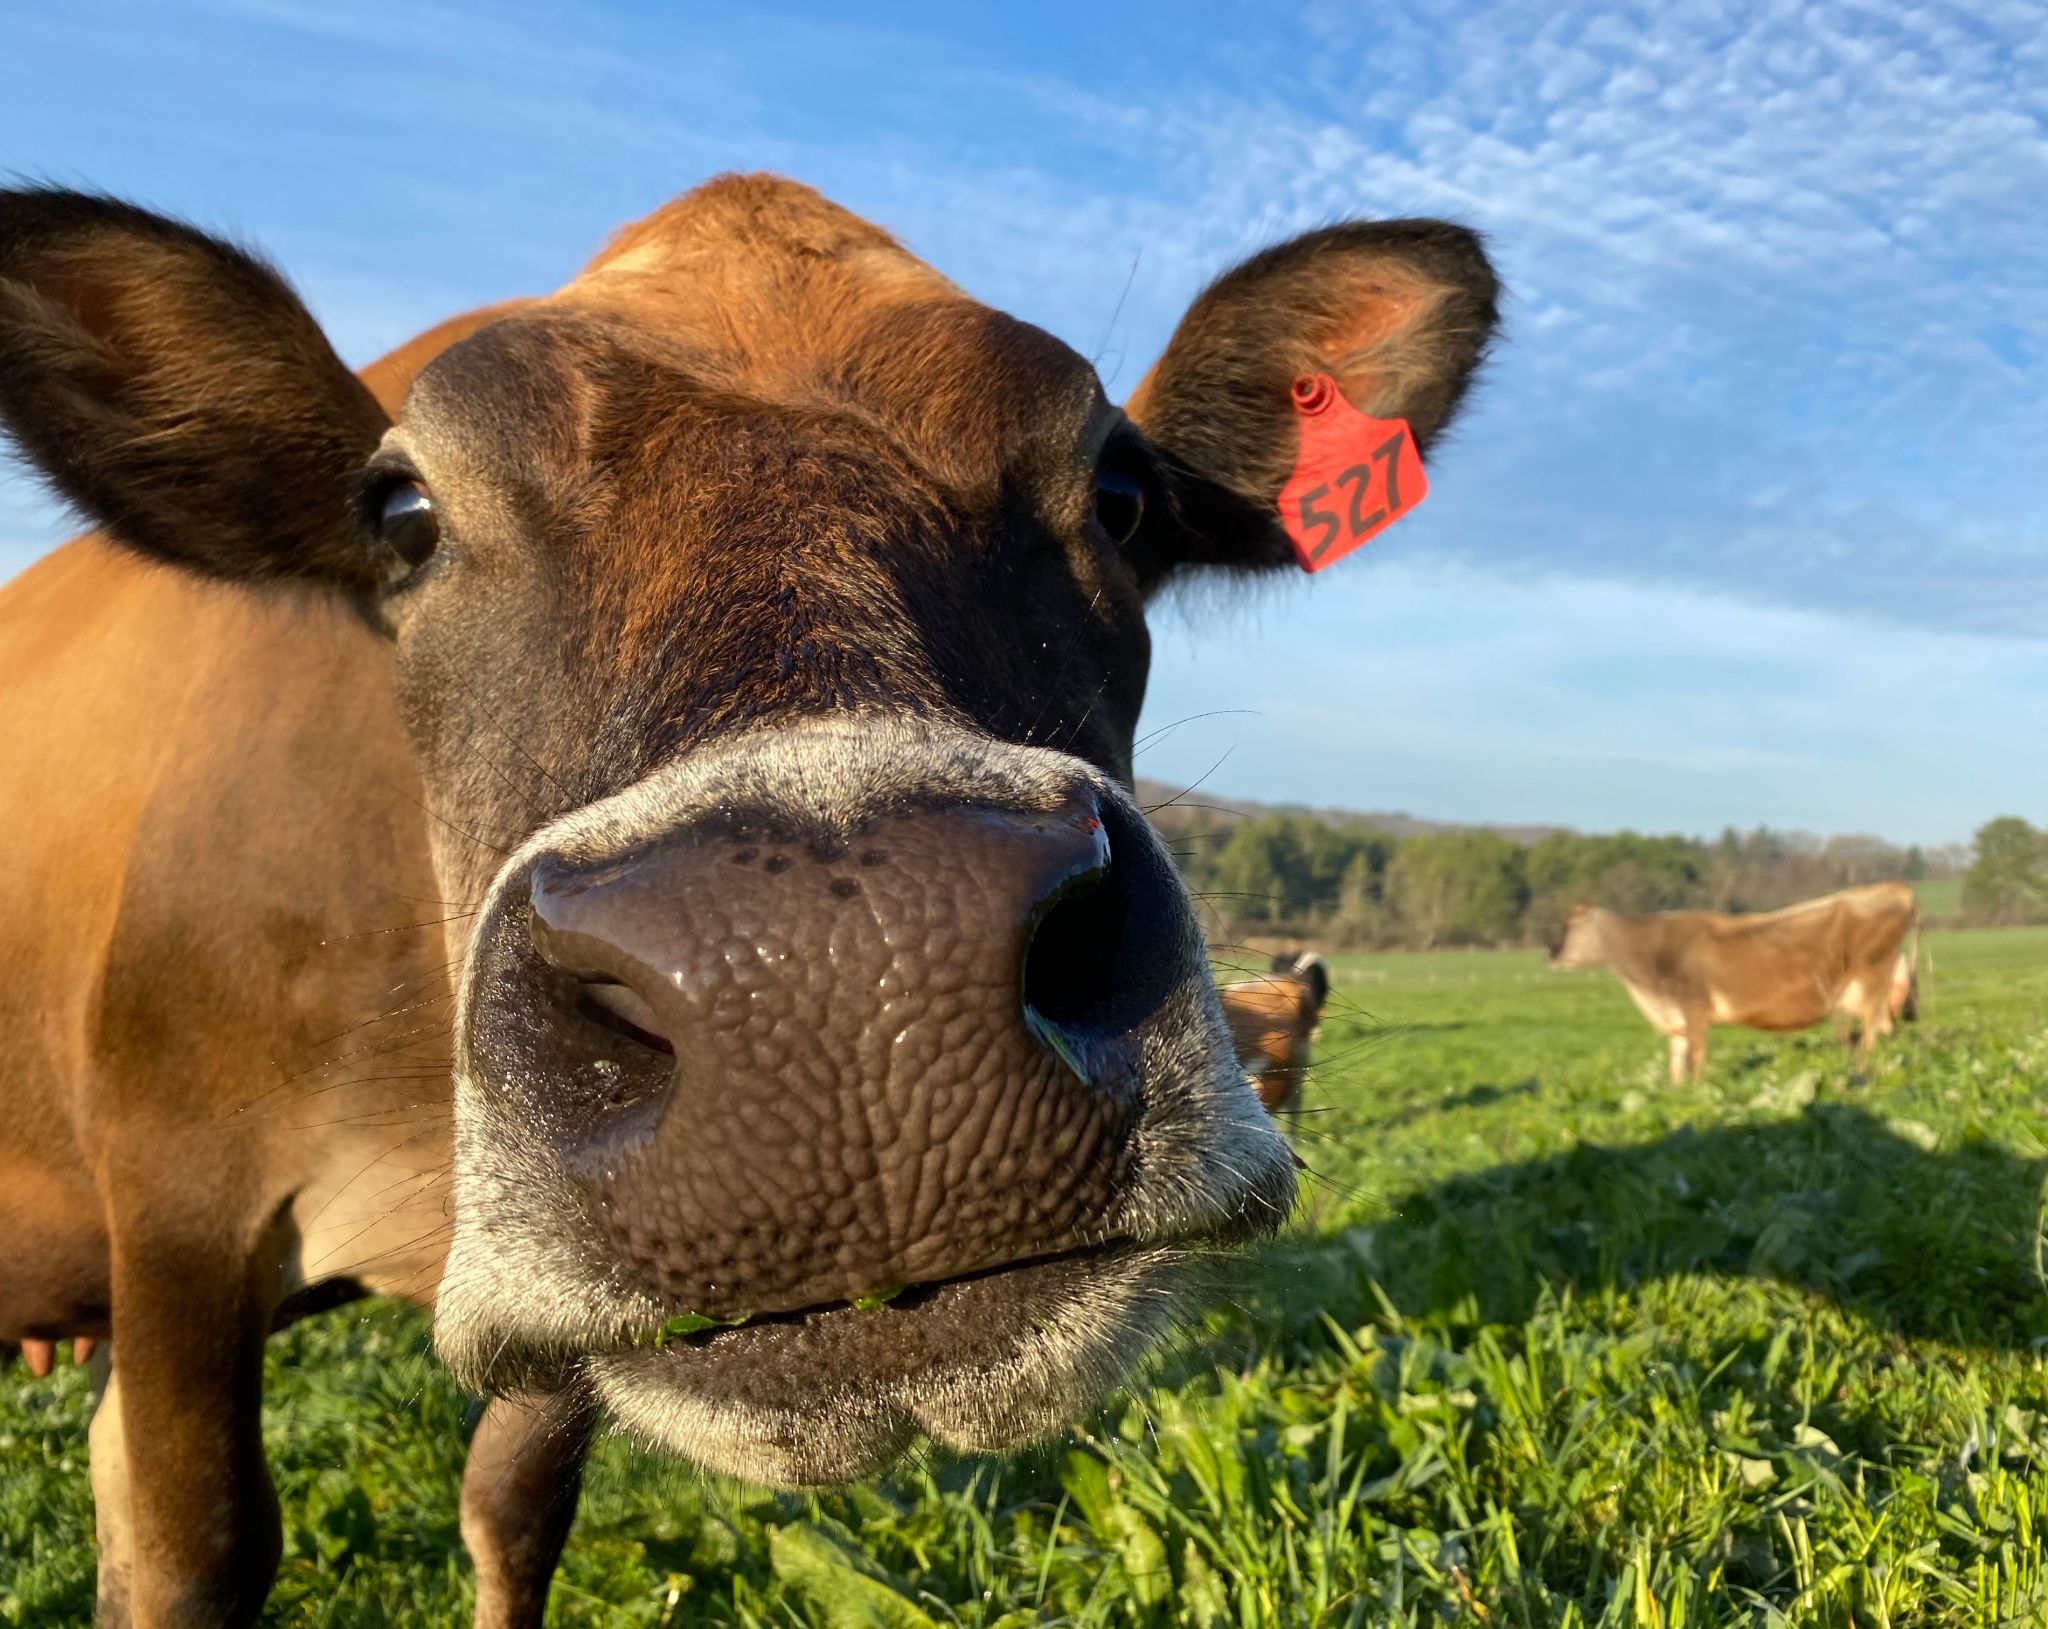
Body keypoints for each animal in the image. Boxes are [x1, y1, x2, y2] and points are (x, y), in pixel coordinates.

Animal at [1548, 882, 1919, 1084]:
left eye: (1570, 925)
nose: (1550, 953)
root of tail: (1898, 889)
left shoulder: (1696, 1009)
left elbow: (1696, 1059)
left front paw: (1697, 1094)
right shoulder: (1676, 1020)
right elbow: (1675, 1063)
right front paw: (1676, 1095)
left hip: (1872, 981)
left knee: (1871, 1034)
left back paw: (1862, 1072)